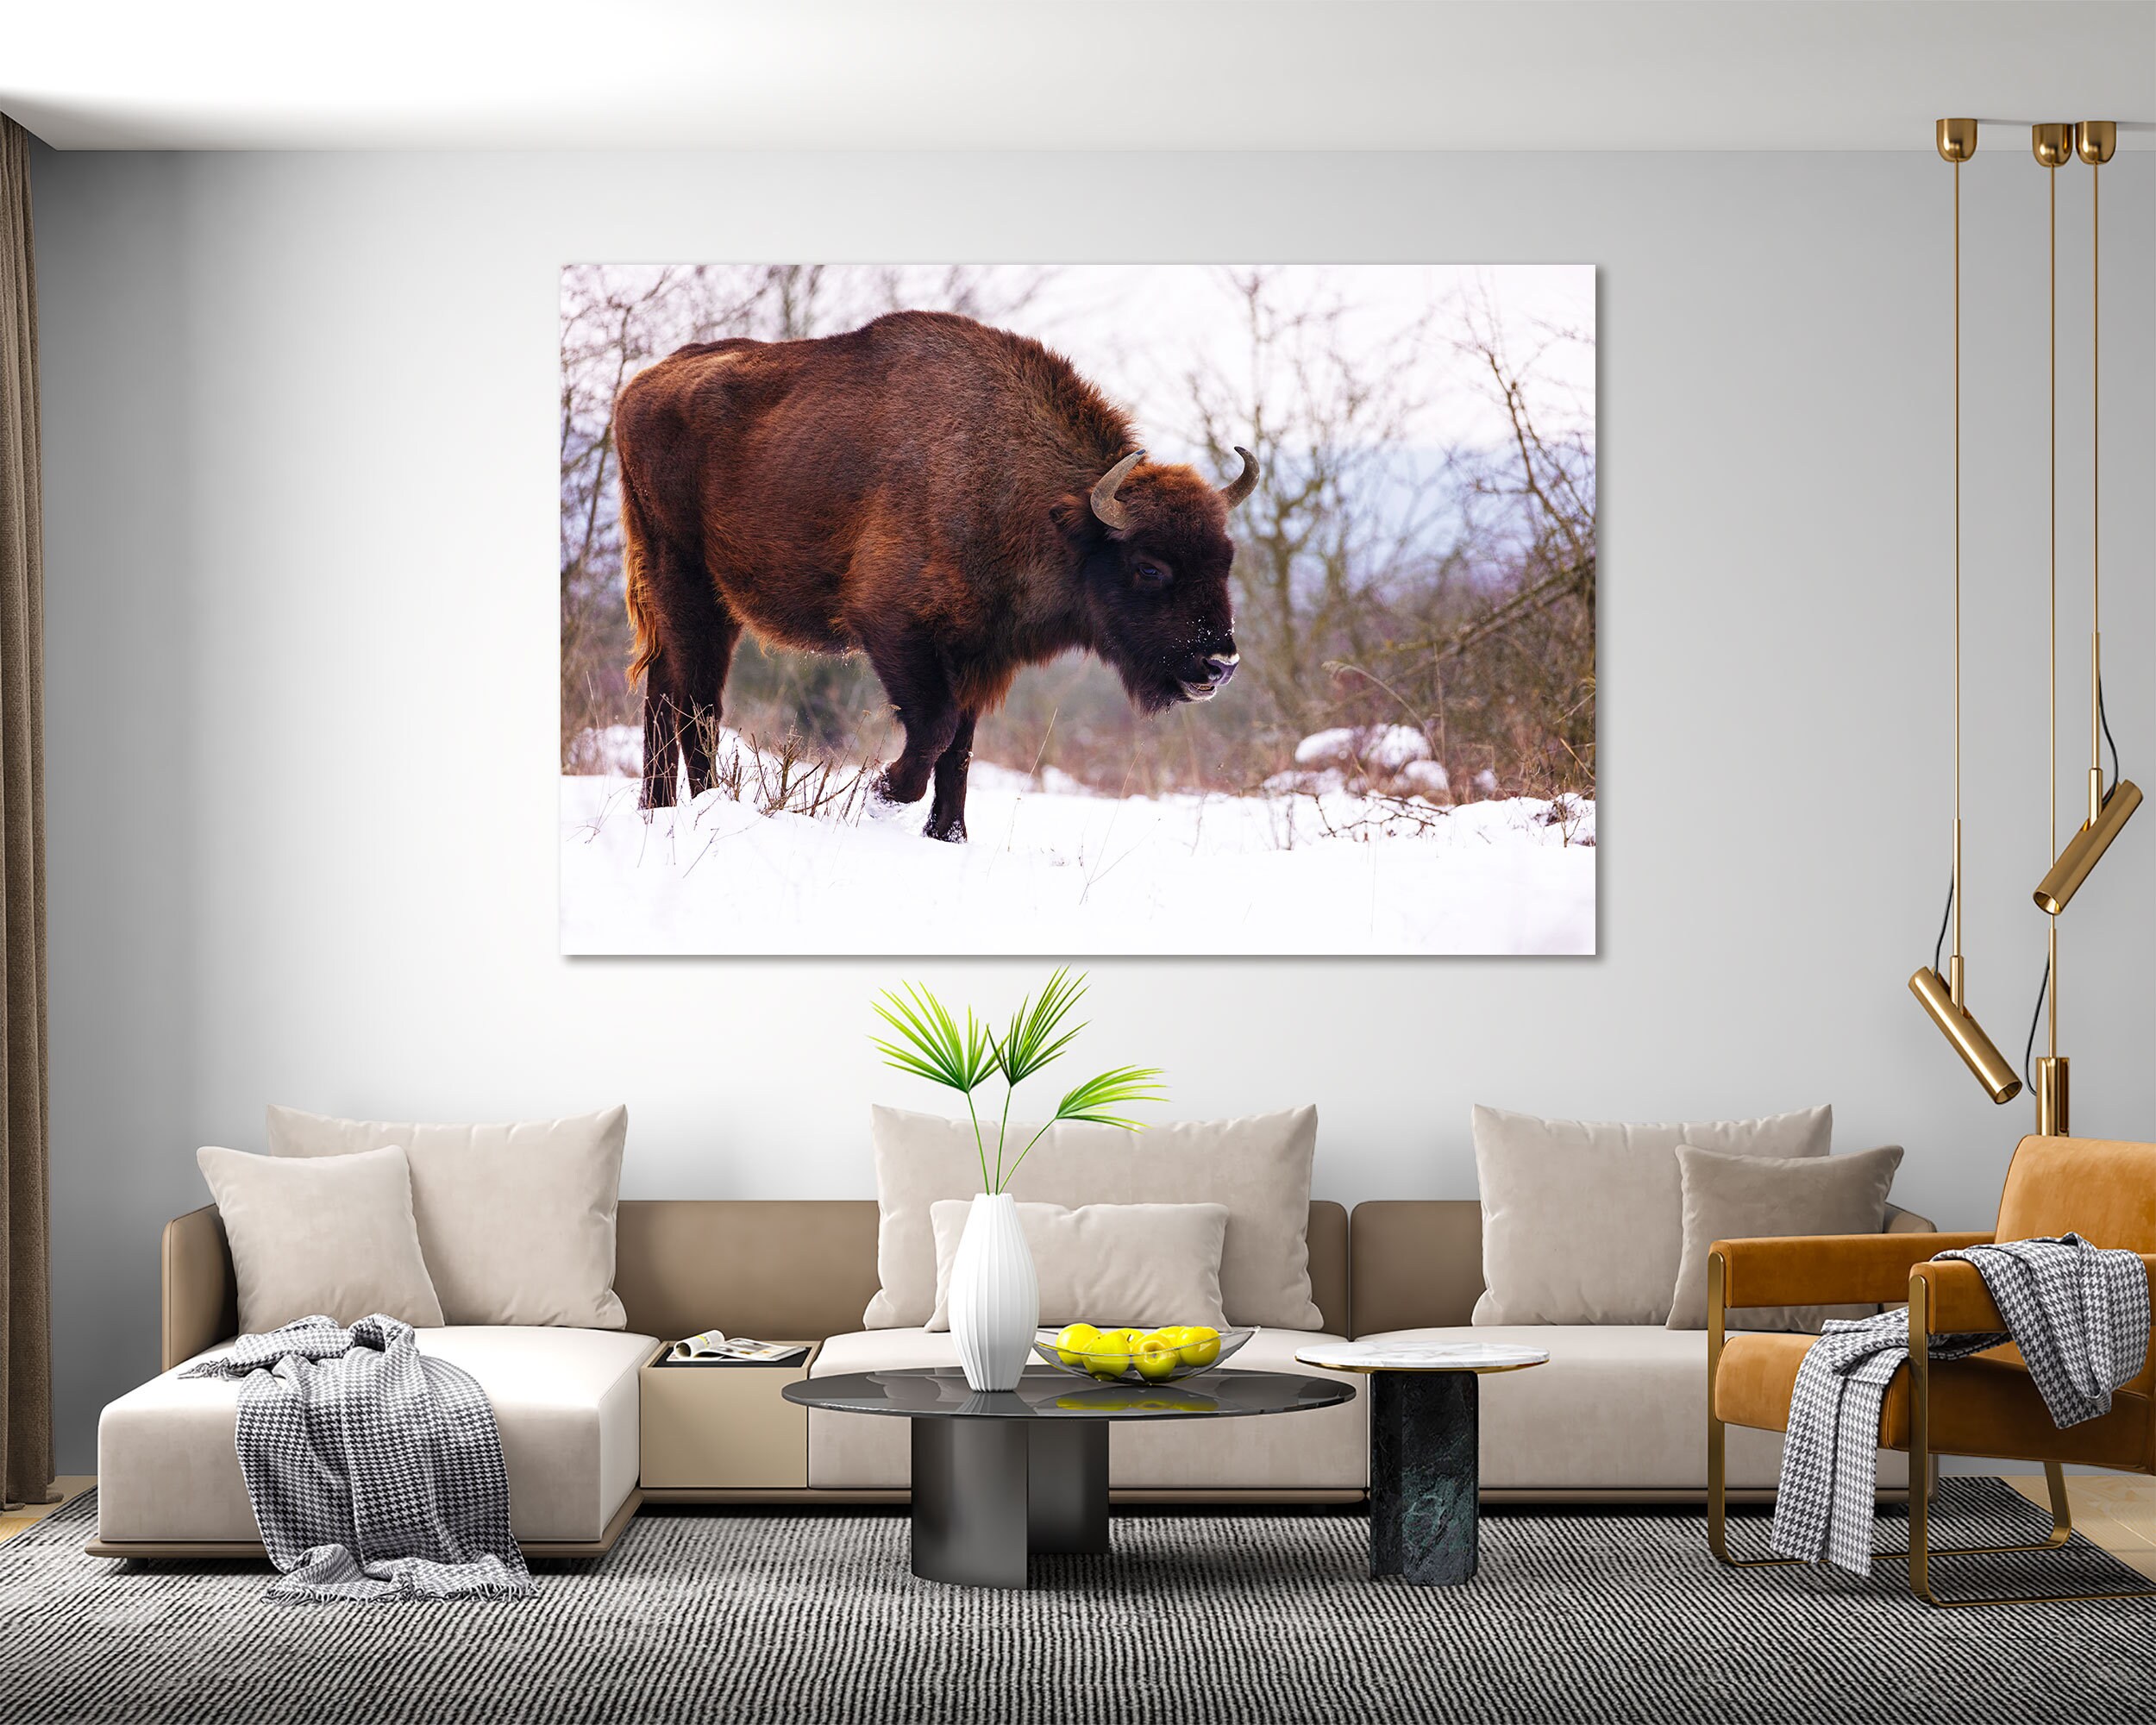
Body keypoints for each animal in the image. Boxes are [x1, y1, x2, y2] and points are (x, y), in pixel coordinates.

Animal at [611, 309, 1256, 841]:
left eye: (1226, 559)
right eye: (1150, 567)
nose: (1220, 664)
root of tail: (638, 388)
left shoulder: (976, 655)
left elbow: (959, 754)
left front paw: (948, 835)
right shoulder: (895, 630)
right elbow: (937, 731)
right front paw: (882, 793)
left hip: (702, 604)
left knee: (671, 694)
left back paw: (662, 809)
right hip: (688, 585)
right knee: (692, 704)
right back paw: (697, 807)